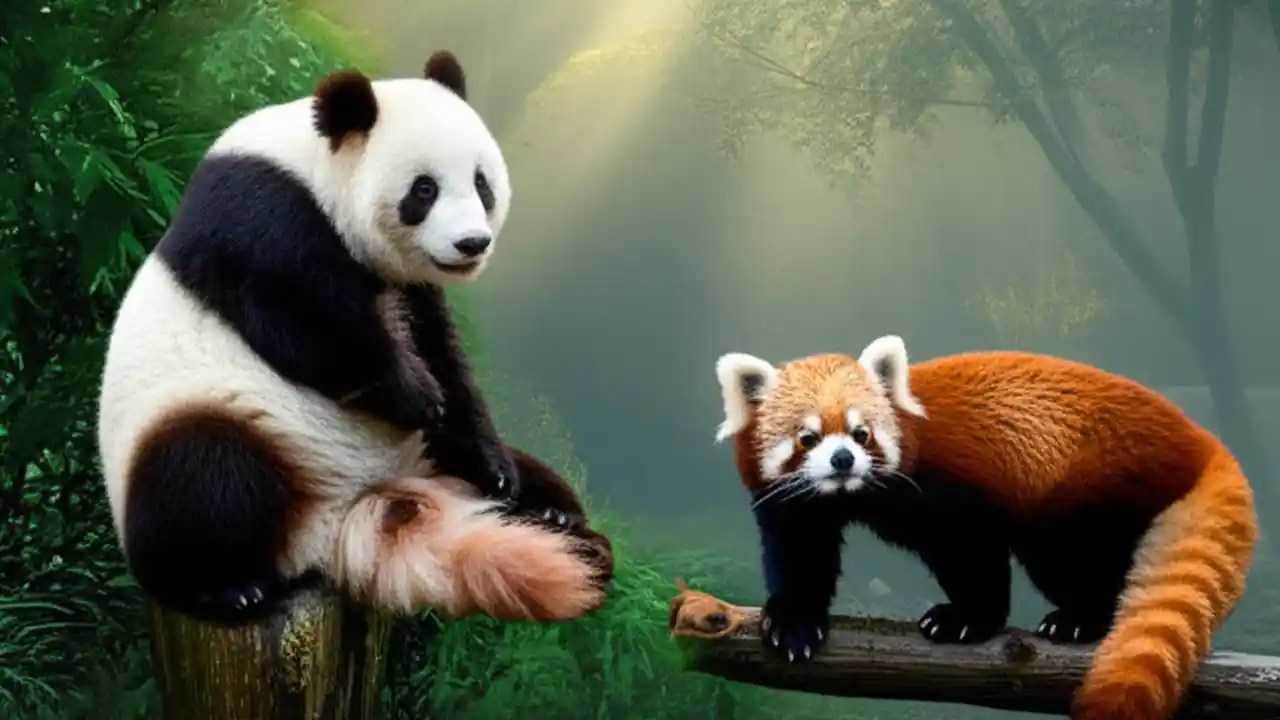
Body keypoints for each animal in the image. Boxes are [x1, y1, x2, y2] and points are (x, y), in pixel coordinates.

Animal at [96, 50, 613, 624]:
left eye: (482, 184)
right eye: (424, 190)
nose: (472, 244)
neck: (311, 168)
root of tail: (340, 524)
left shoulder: (410, 286)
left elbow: (442, 350)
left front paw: (493, 465)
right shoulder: (256, 213)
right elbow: (302, 318)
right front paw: (414, 395)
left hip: (429, 461)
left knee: (535, 474)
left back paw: (563, 524)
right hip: (218, 422)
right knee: (202, 475)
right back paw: (225, 588)